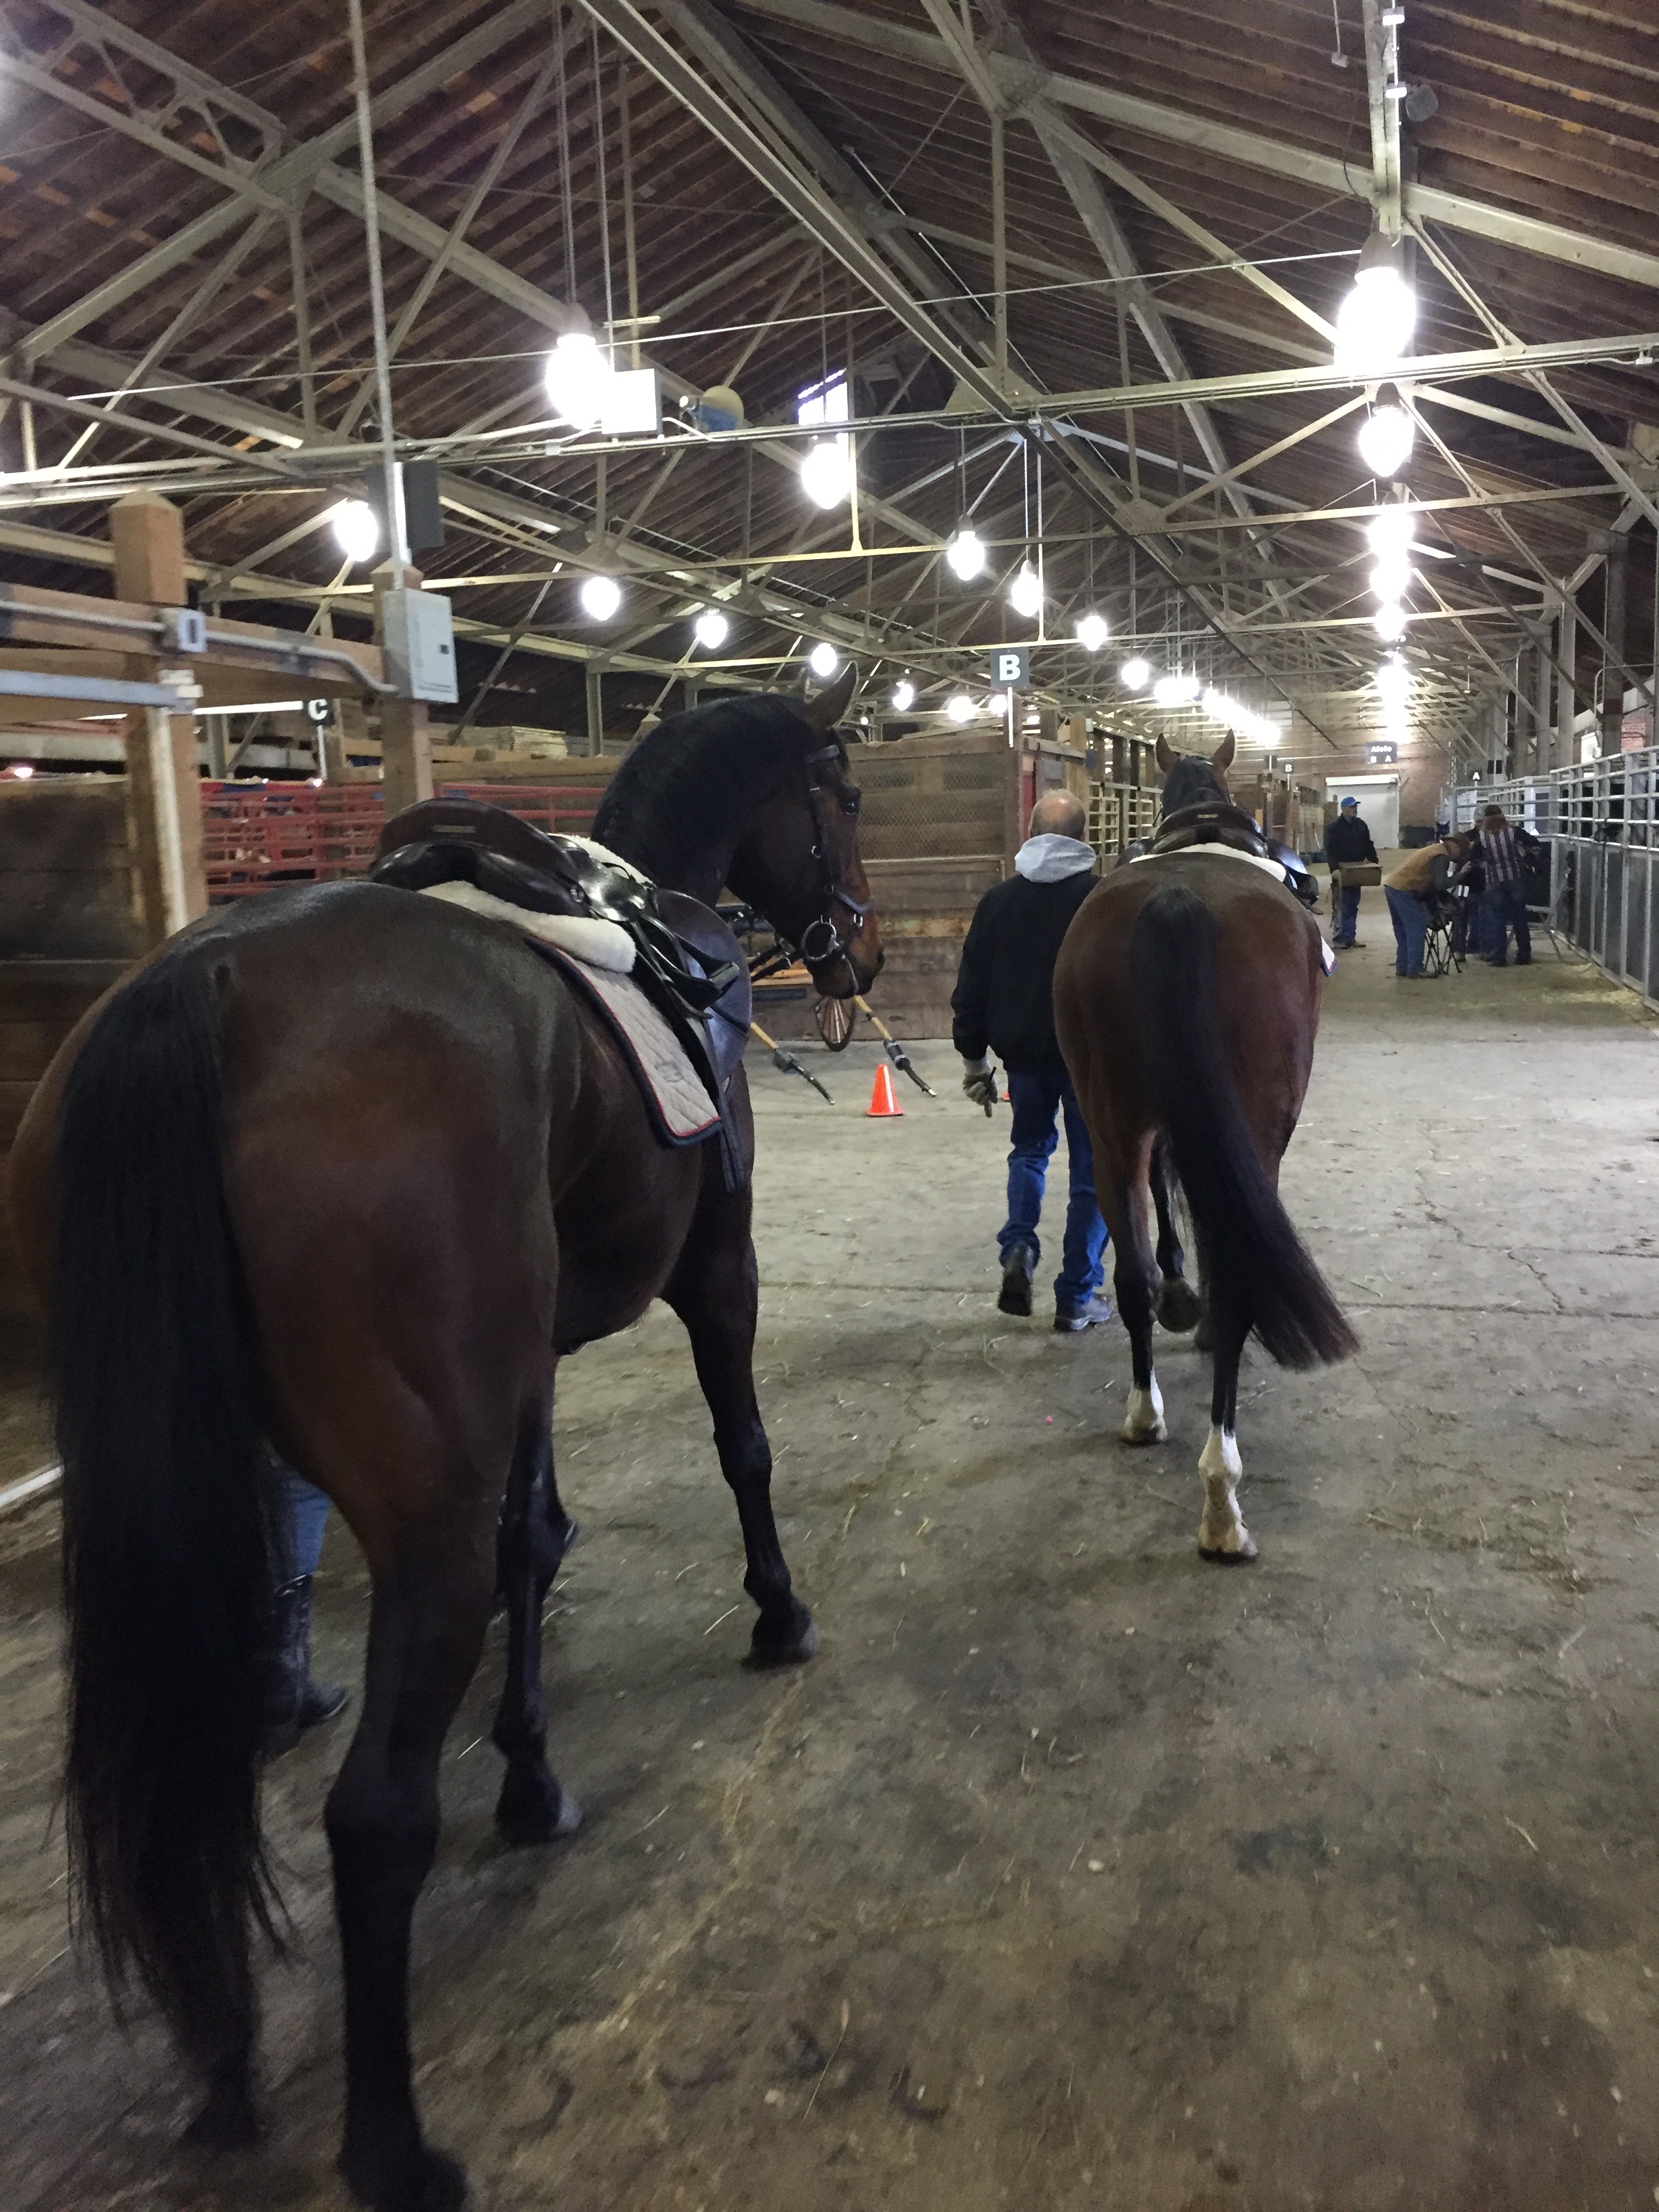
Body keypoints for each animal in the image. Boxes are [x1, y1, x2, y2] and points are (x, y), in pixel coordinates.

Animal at [6, 667, 879, 2212]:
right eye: (838, 794)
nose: (861, 955)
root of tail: (195, 987)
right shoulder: (718, 1265)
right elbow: (742, 1448)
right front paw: (778, 1614)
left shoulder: (520, 1363)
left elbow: (540, 1533)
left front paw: (530, 1771)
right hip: (420, 1503)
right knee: (372, 1815)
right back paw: (391, 2144)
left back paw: (221, 2065)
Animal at [1052, 732, 1356, 1563]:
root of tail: (1178, 900)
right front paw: (1196, 1305)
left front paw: (1180, 1296)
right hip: (1256, 1124)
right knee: (1240, 1274)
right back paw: (1223, 1500)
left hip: (1108, 1123)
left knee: (1131, 1274)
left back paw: (1144, 1414)